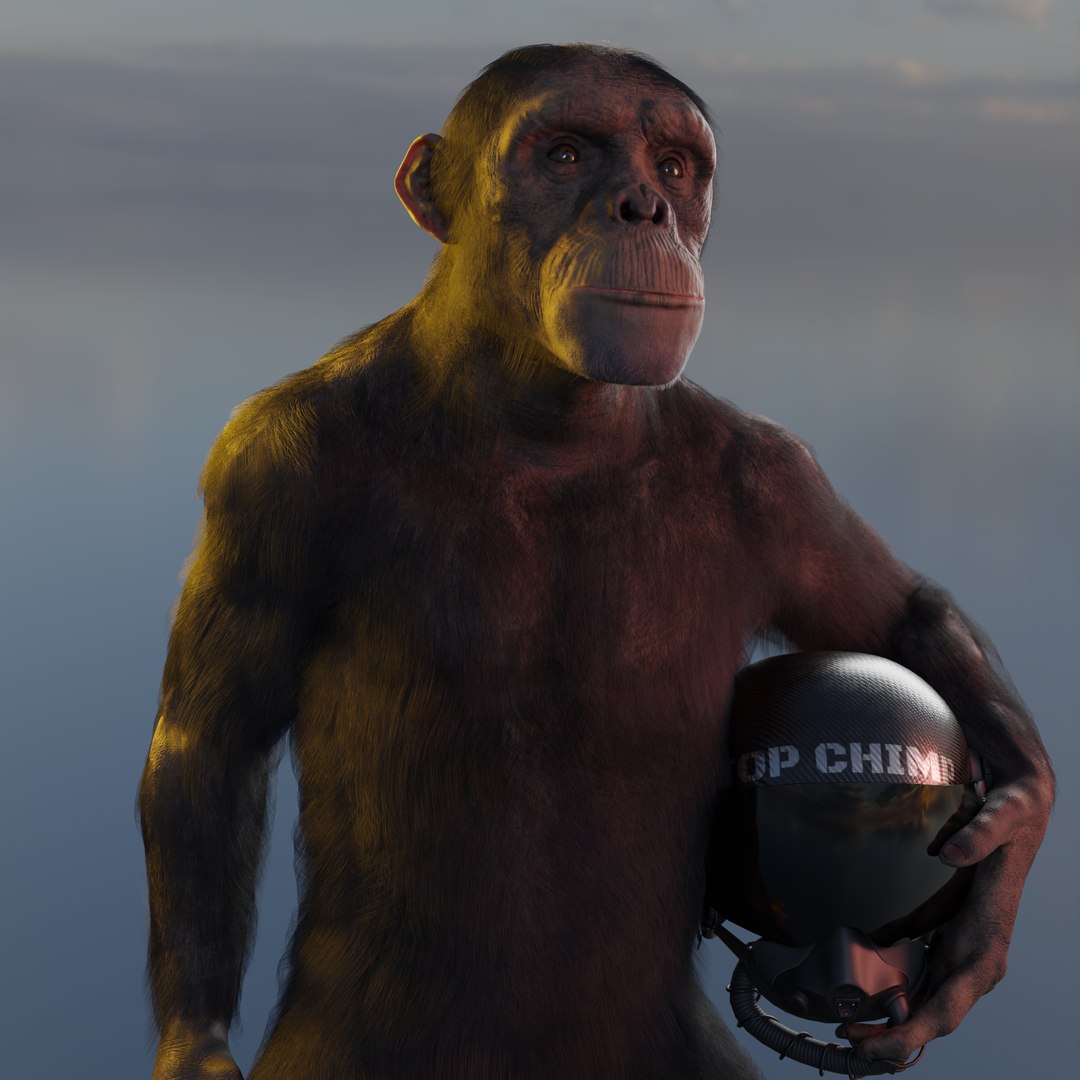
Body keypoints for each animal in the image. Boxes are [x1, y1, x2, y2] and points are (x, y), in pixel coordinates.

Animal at [139, 44, 1054, 1079]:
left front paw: (1001, 868)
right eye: (567, 153)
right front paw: (197, 1046)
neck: (538, 421)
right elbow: (211, 746)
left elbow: (901, 611)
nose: (644, 209)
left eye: (676, 166)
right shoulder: (268, 468)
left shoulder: (777, 475)